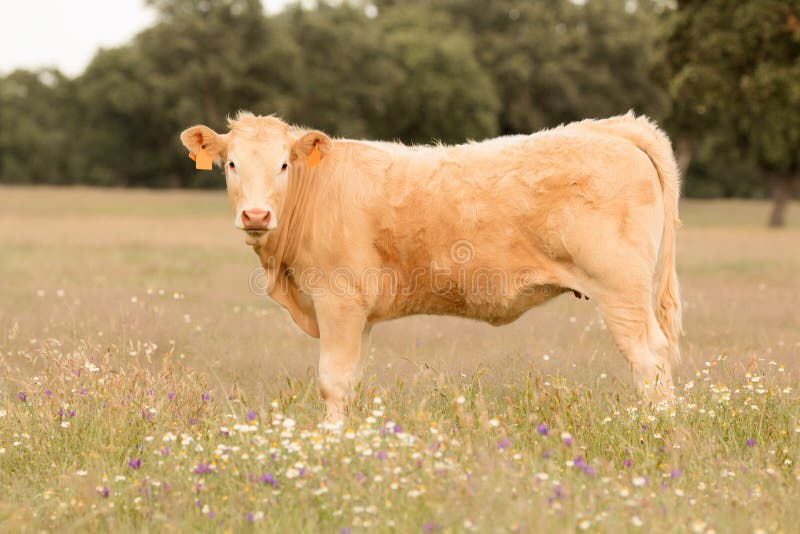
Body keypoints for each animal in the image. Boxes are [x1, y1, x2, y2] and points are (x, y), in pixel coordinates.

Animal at [180, 111, 682, 423]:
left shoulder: (339, 300)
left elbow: (332, 382)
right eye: (231, 164)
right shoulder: (360, 314)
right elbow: (352, 380)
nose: (256, 215)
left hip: (620, 289)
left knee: (650, 358)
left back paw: (655, 430)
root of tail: (609, 129)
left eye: (284, 165)